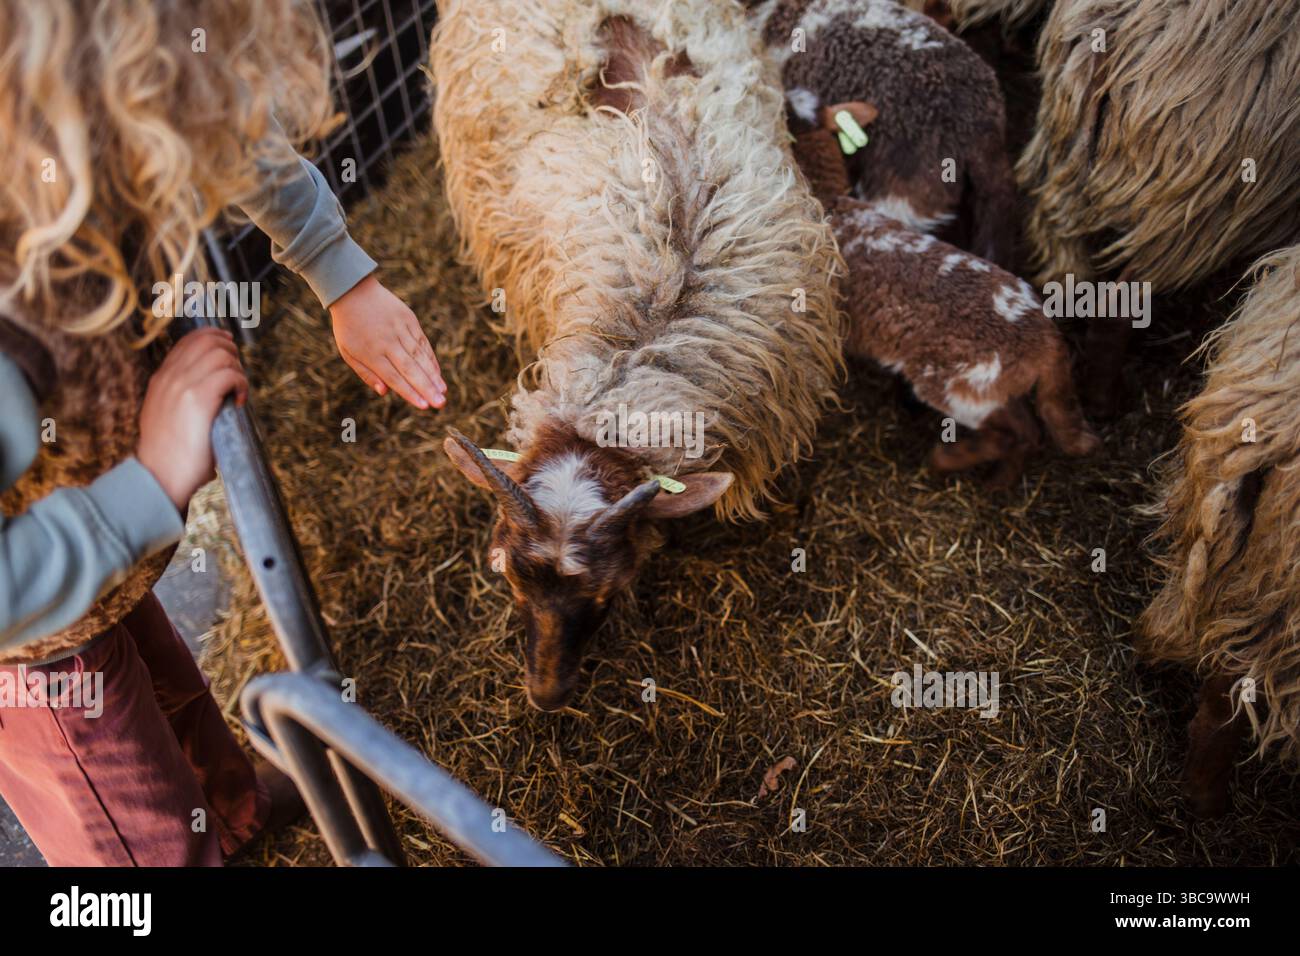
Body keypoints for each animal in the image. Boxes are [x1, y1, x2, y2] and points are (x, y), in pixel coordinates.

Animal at [793, 113, 1098, 484]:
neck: (832, 203)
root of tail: (1046, 341)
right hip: (990, 389)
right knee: (1030, 430)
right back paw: (999, 483)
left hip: (962, 389)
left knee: (1017, 433)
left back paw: (946, 460)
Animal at [1018, 0, 1300, 416]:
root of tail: (1113, 42)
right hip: (1191, 209)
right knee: (1114, 311)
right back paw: (1106, 402)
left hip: (1065, 164)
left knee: (1063, 270)